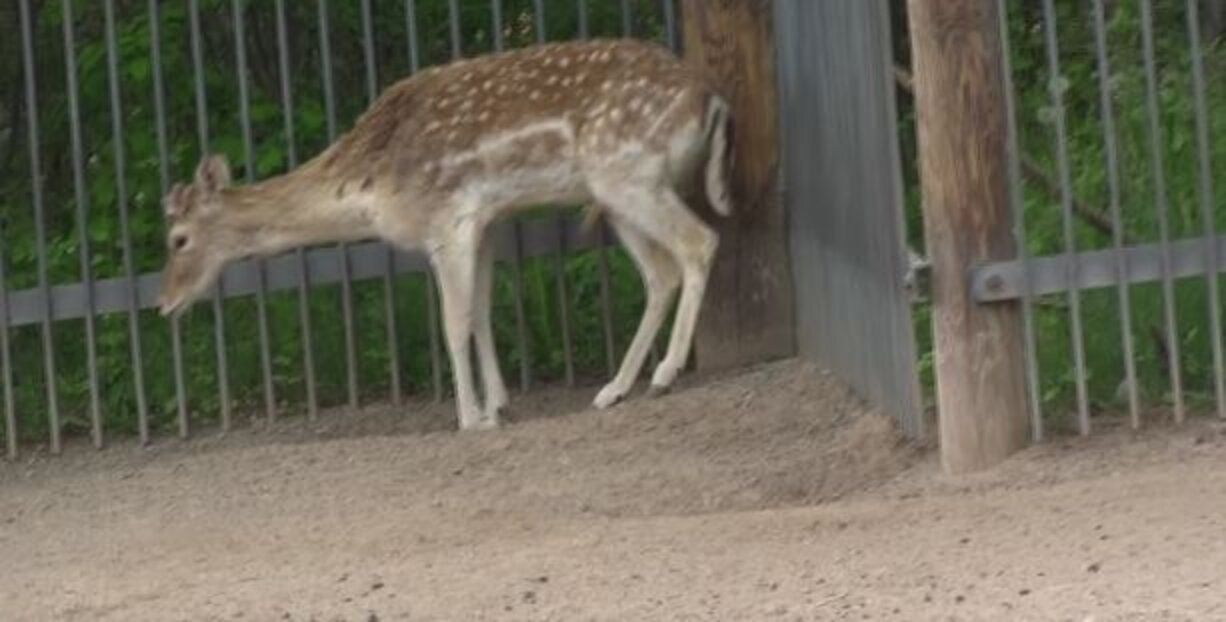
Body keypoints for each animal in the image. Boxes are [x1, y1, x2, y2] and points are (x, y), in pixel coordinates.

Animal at [156, 38, 733, 431]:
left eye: (179, 238)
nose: (163, 302)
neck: (368, 187)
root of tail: (713, 99)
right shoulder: (488, 223)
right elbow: (480, 314)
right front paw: (499, 405)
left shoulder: (446, 221)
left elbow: (453, 323)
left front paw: (471, 417)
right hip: (614, 195)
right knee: (660, 273)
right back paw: (615, 389)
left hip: (628, 175)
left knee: (698, 242)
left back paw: (664, 374)